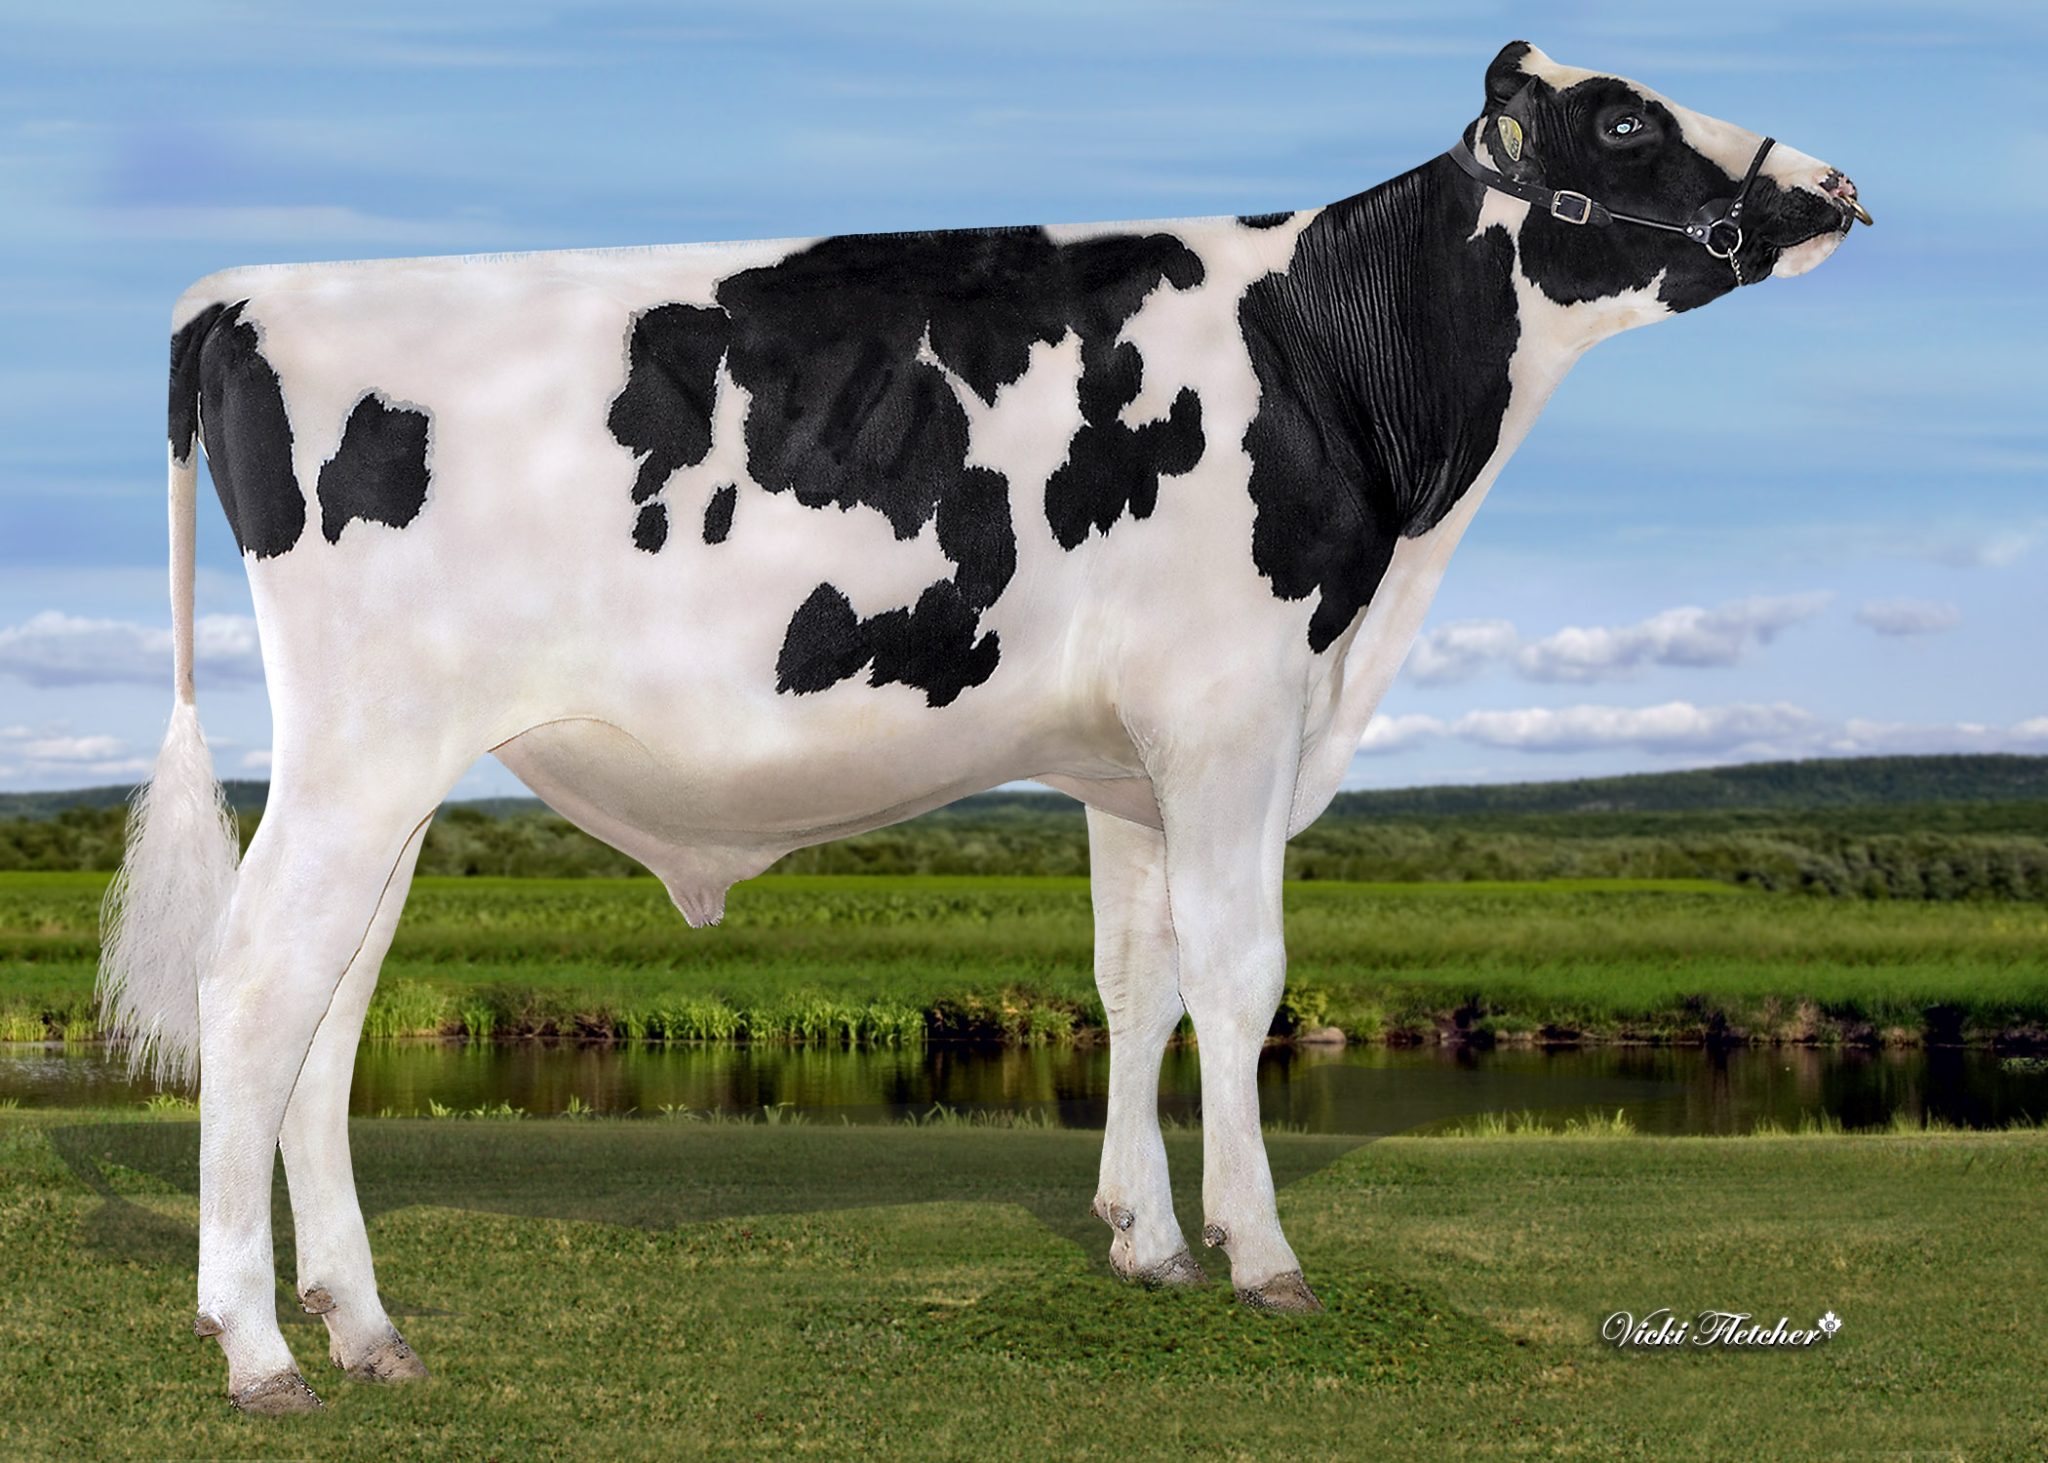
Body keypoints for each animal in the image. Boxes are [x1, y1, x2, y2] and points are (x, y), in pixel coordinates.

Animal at [98, 41, 1866, 1412]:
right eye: (1624, 121)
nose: (1837, 185)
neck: (1340, 378)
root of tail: (244, 291)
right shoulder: (1233, 711)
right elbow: (1242, 979)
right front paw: (1266, 1257)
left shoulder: (1127, 762)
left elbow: (1139, 979)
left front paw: (1151, 1240)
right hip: (363, 745)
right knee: (254, 984)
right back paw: (256, 1344)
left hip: (391, 767)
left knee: (328, 1005)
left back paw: (364, 1324)